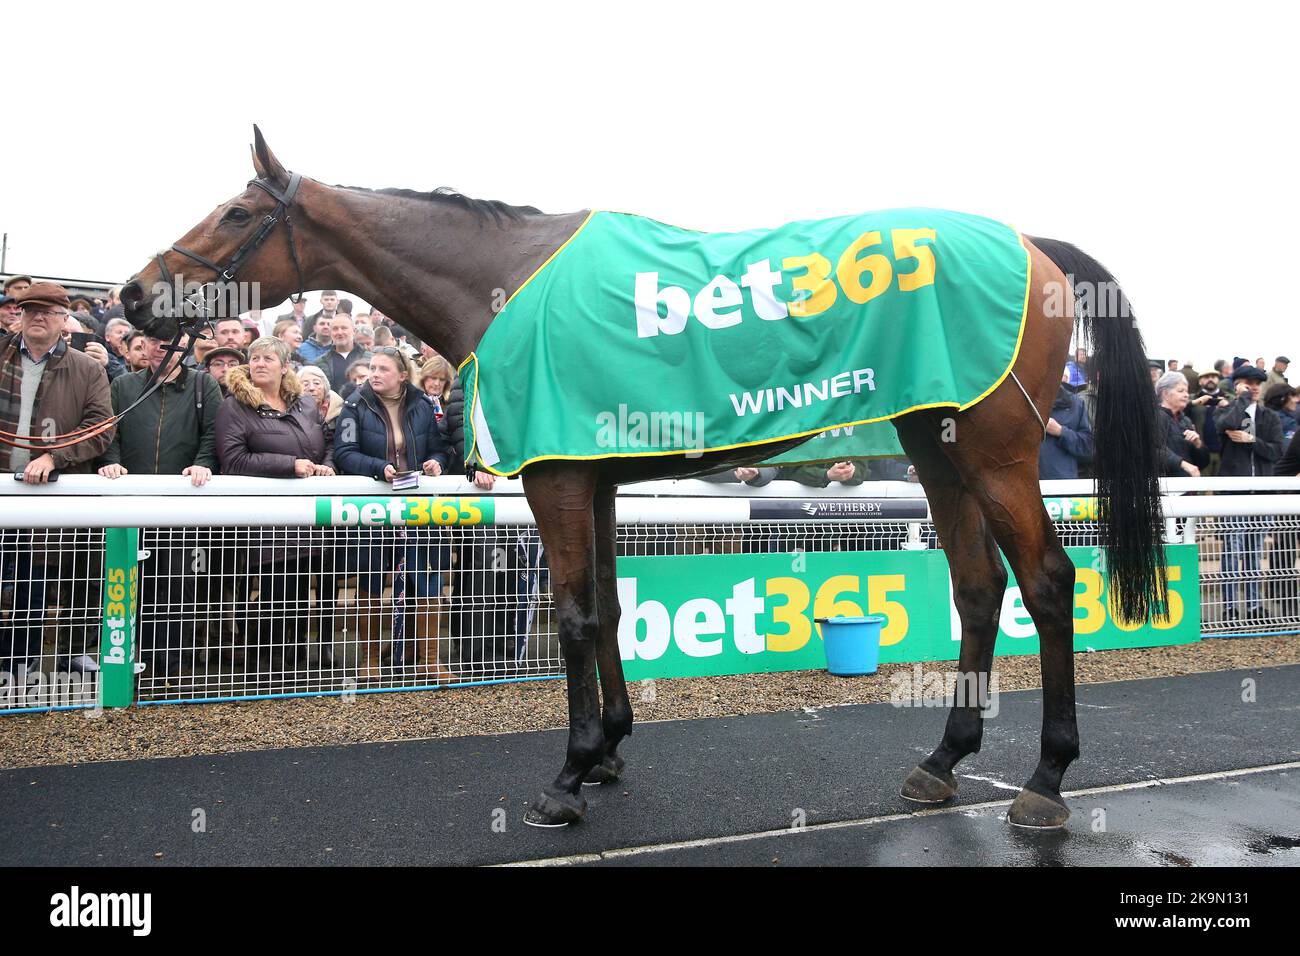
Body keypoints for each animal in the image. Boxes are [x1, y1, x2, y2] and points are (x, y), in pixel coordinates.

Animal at [121, 127, 1166, 830]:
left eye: (238, 213)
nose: (133, 295)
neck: (505, 279)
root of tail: (1034, 248)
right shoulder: (597, 476)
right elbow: (610, 607)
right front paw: (611, 751)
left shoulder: (555, 477)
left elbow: (578, 614)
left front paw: (569, 775)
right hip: (933, 444)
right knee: (980, 587)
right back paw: (943, 761)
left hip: (993, 452)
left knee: (1047, 582)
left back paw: (1045, 781)